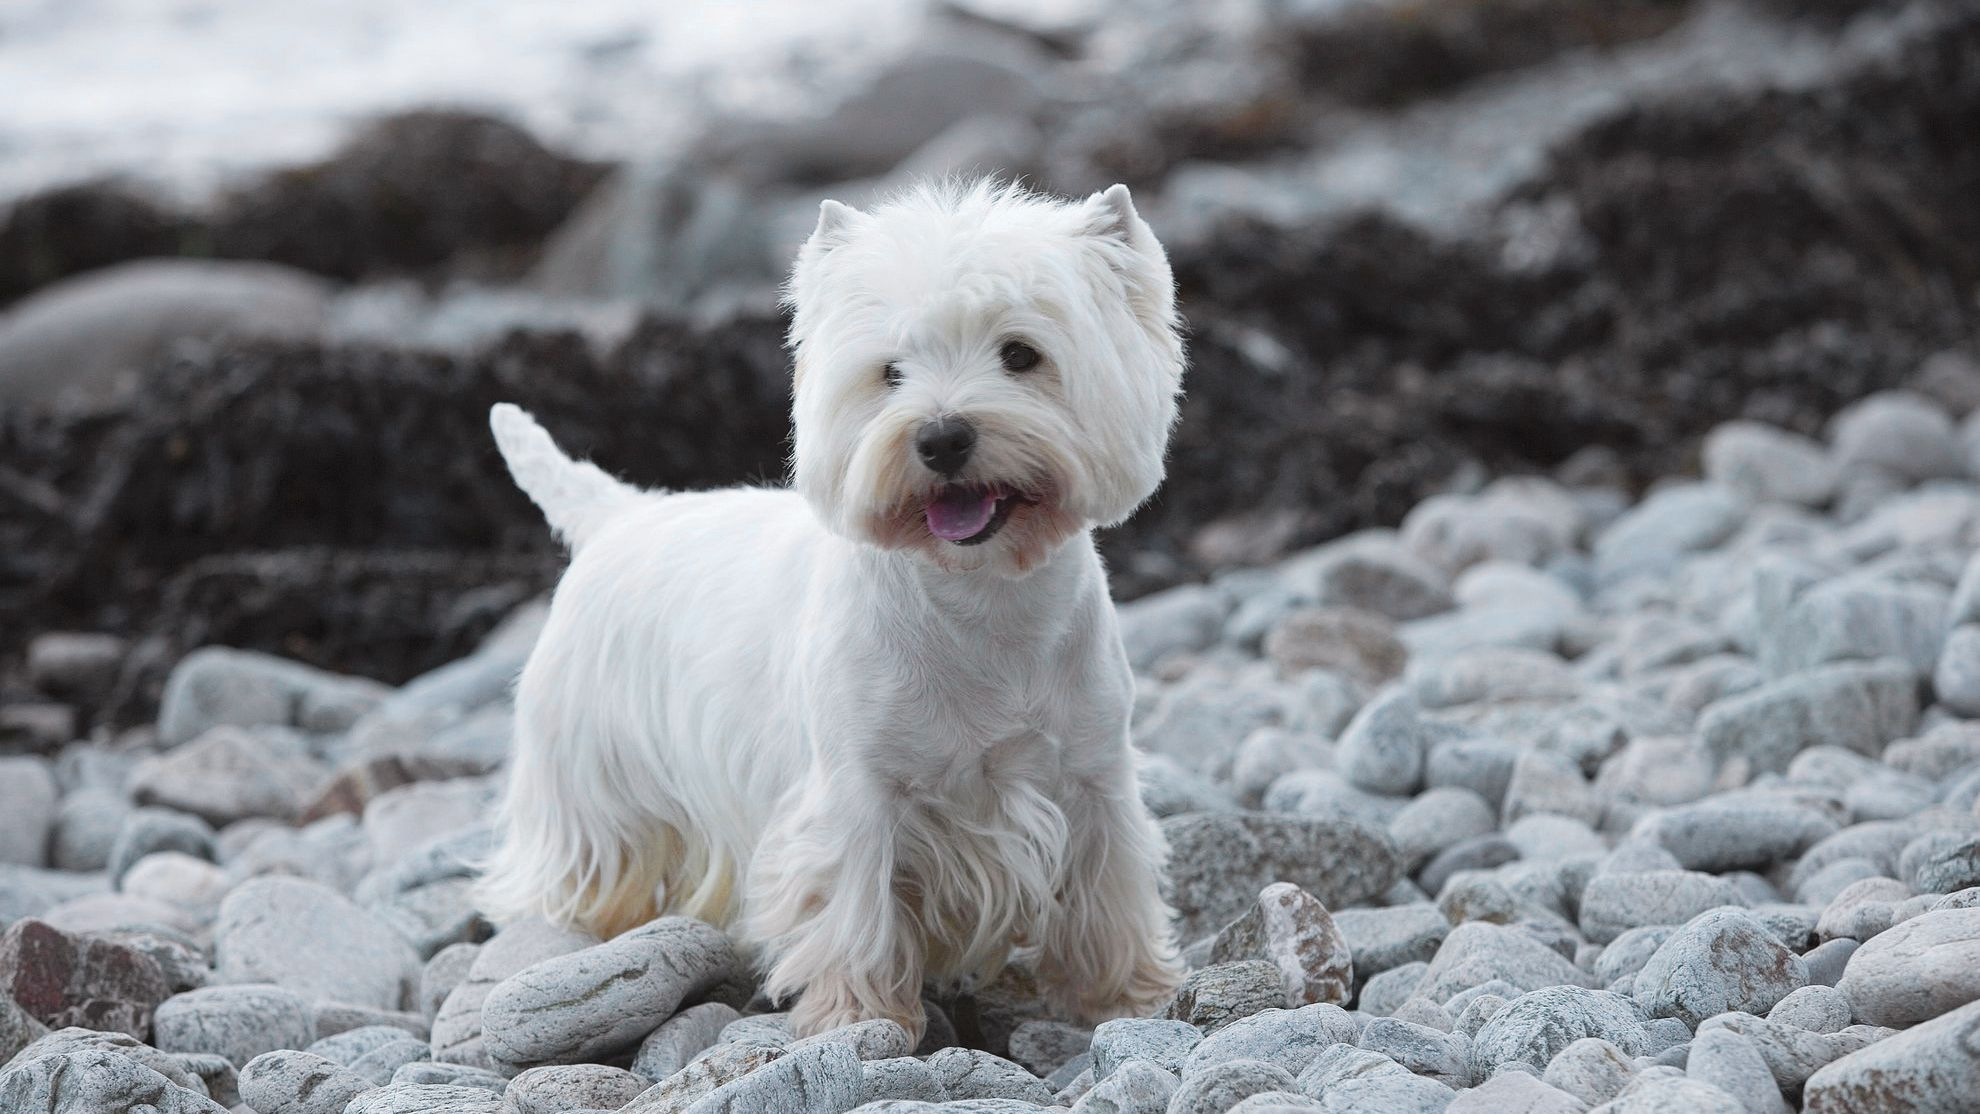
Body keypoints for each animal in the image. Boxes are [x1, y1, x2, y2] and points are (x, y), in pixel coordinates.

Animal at [475, 179, 1188, 1044]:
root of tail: (615, 516)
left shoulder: (1092, 775)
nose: (941, 438)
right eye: (890, 372)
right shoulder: (855, 795)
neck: (980, 600)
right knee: (579, 862)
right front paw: (859, 1018)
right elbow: (855, 905)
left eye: (1021, 353)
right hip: (591, 777)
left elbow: (1107, 893)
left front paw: (1129, 996)